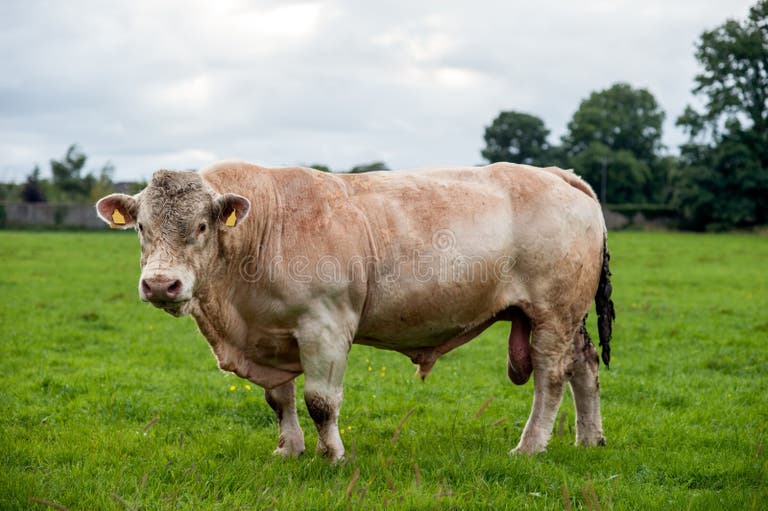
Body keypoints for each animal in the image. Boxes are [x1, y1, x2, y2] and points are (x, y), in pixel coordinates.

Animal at [96, 161, 614, 460]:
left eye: (202, 226)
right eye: (140, 227)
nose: (160, 284)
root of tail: (557, 173)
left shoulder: (323, 326)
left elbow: (320, 402)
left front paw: (333, 455)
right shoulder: (270, 335)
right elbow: (279, 399)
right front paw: (289, 449)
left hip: (552, 312)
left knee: (551, 378)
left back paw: (530, 447)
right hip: (567, 318)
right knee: (584, 366)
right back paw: (589, 439)